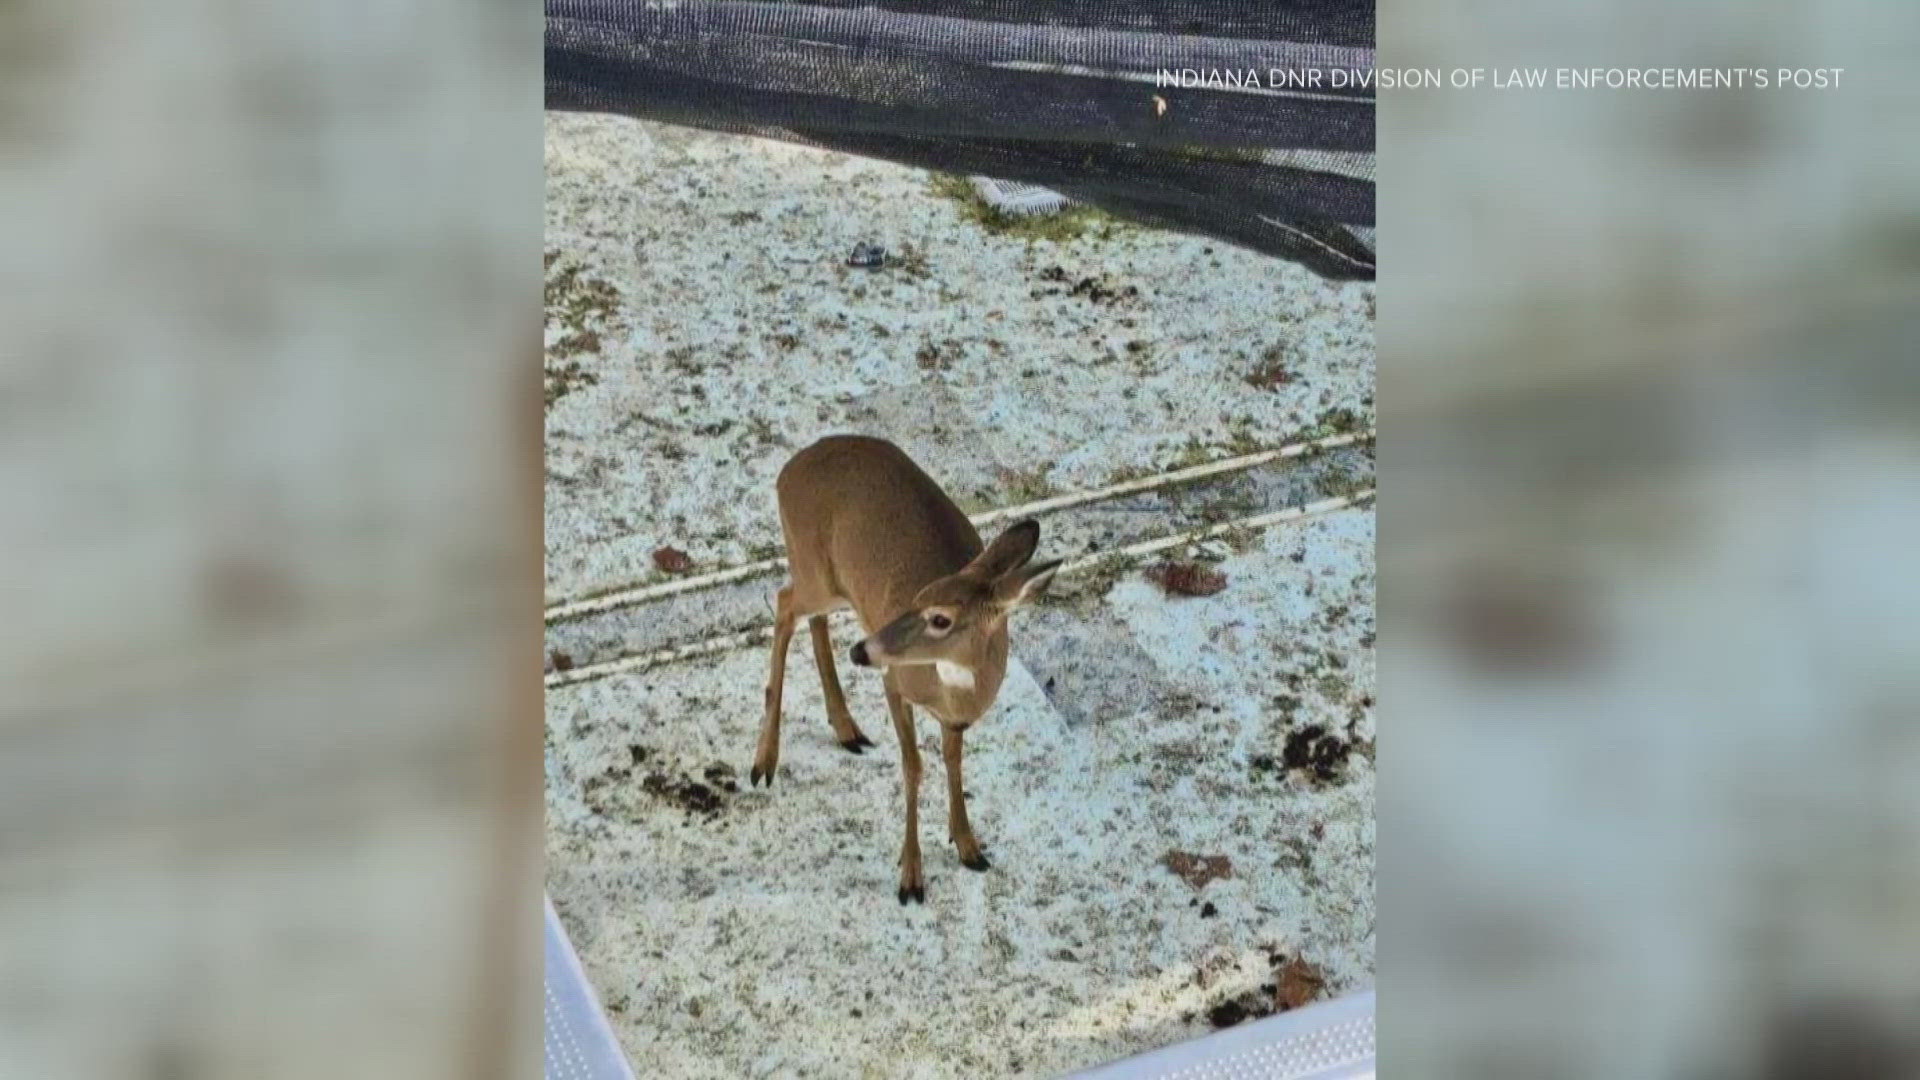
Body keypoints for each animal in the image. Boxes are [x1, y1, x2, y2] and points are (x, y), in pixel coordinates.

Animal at [749, 435, 1060, 904]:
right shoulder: (895, 681)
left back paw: (847, 729)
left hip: (831, 580)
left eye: (940, 618)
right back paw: (764, 761)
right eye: (916, 597)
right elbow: (913, 765)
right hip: (813, 568)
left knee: (810, 616)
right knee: (785, 604)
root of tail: (789, 469)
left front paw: (968, 845)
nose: (861, 651)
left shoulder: (956, 717)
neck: (955, 689)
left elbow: (952, 760)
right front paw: (911, 877)